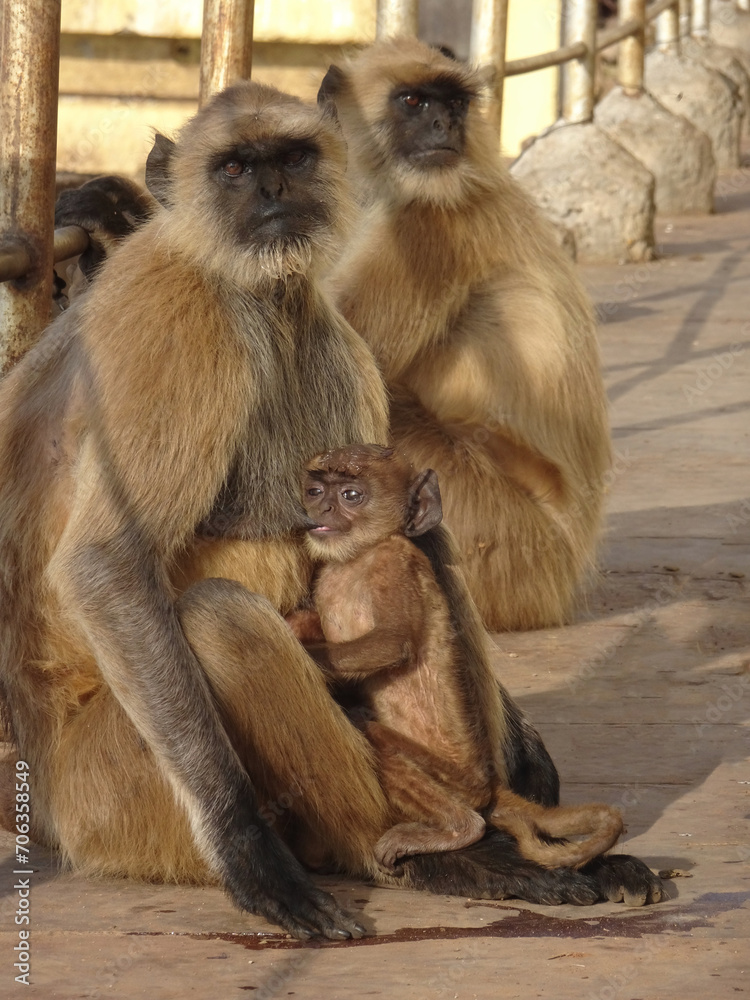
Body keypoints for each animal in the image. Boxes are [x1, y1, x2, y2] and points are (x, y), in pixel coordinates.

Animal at [289, 445, 624, 873]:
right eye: (315, 491)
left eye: (350, 495)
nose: (323, 509)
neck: (357, 559)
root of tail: (490, 784)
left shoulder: (396, 563)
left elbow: (392, 644)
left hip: (459, 783)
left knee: (370, 731)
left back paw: (460, 828)